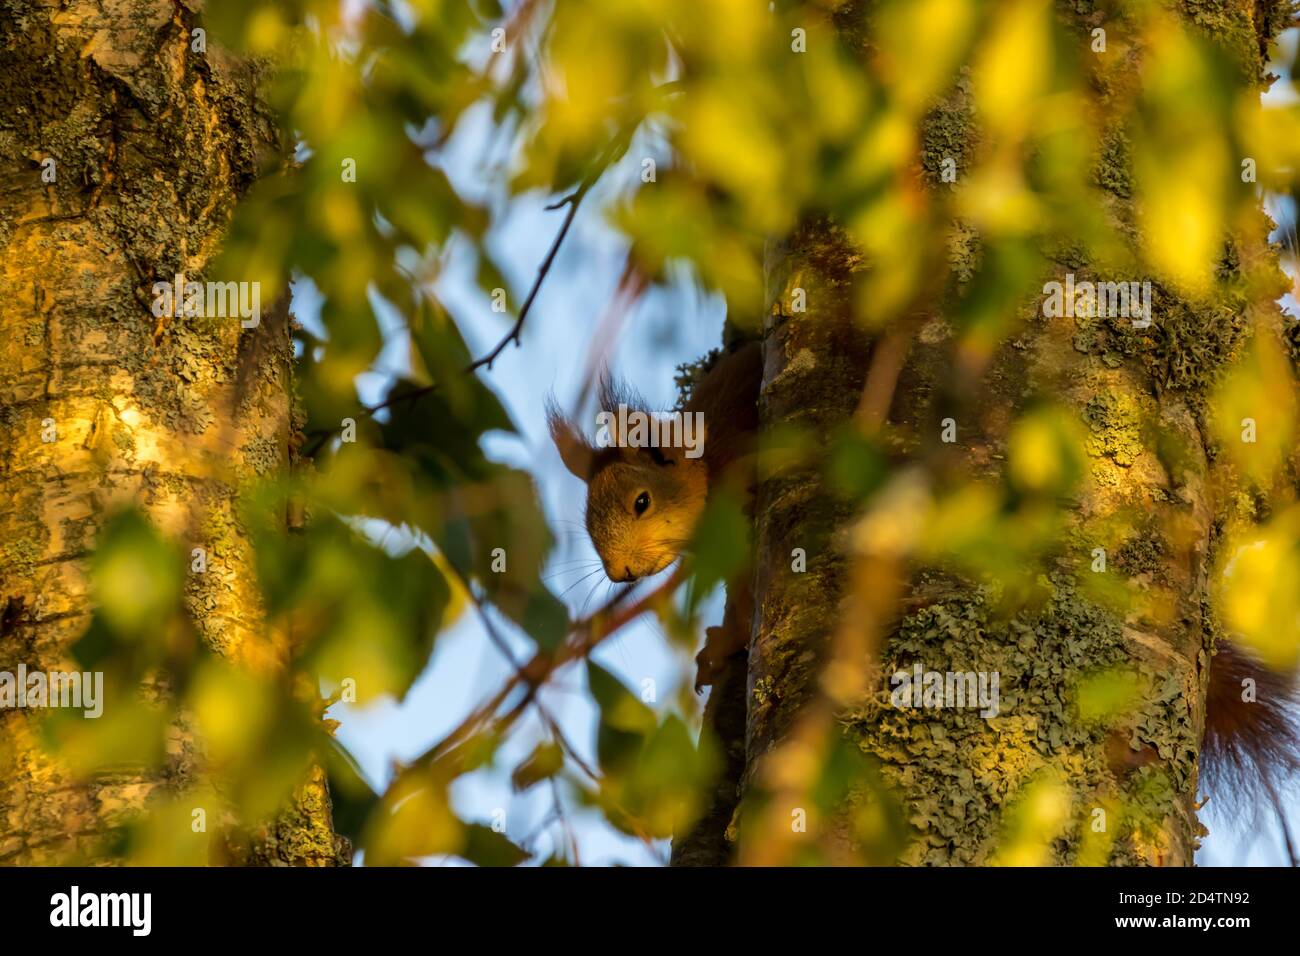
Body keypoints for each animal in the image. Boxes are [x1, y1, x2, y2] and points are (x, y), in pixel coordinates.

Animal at [548, 339, 1299, 841]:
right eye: (586, 519)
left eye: (641, 501)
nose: (621, 575)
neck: (703, 475)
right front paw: (715, 650)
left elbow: (743, 600)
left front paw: (723, 644)